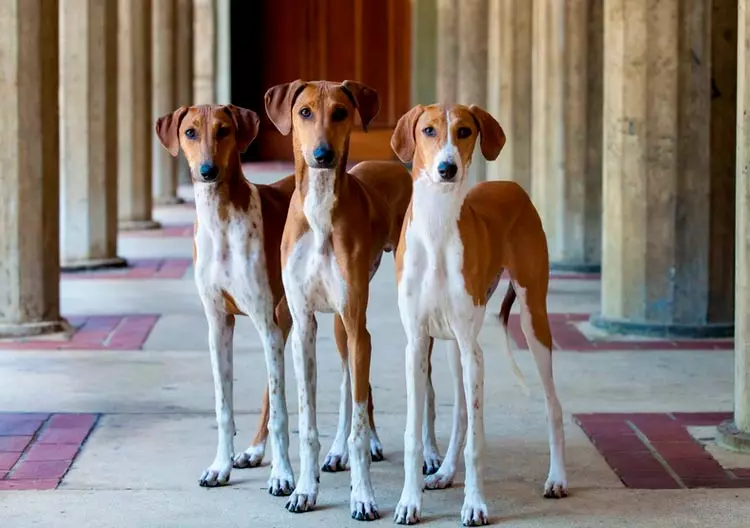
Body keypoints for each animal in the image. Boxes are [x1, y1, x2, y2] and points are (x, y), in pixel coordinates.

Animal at [264, 79, 414, 520]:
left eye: (341, 112)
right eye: (305, 112)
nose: (322, 155)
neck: (319, 208)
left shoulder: (356, 323)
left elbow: (360, 428)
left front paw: (363, 496)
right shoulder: (304, 325)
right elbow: (310, 421)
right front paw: (304, 488)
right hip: (338, 325)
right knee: (350, 384)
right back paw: (335, 452)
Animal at [388, 103, 568, 524]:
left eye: (465, 131)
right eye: (429, 130)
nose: (447, 168)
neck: (437, 227)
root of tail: (512, 186)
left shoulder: (474, 350)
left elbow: (477, 442)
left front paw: (474, 504)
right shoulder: (417, 344)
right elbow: (414, 435)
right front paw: (409, 502)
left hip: (533, 321)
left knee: (553, 406)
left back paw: (556, 478)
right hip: (452, 347)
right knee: (460, 416)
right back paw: (444, 472)